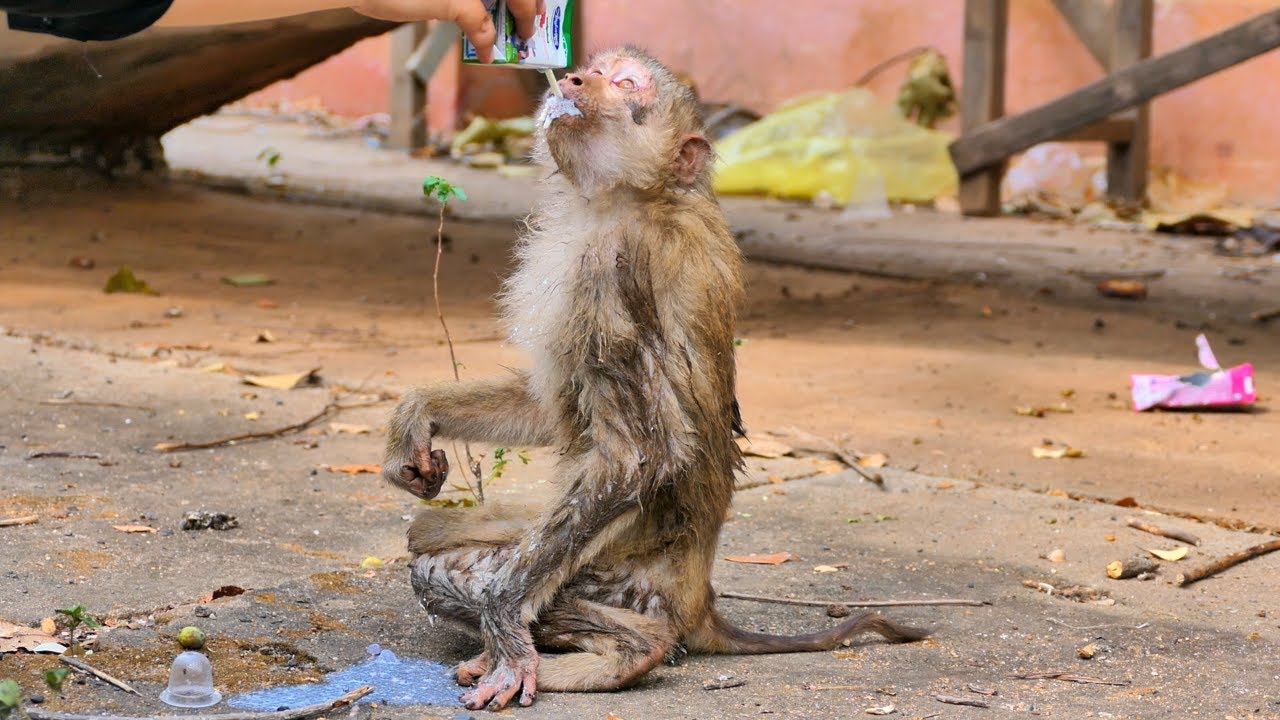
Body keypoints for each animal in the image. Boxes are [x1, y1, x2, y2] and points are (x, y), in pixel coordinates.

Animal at [382, 46, 928, 712]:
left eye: (624, 84)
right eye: (593, 71)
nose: (570, 79)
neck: (639, 198)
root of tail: (699, 603)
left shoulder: (610, 273)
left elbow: (641, 455)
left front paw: (508, 627)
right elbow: (548, 409)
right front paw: (416, 416)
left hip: (619, 582)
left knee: (444, 558)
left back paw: (628, 650)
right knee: (432, 533)